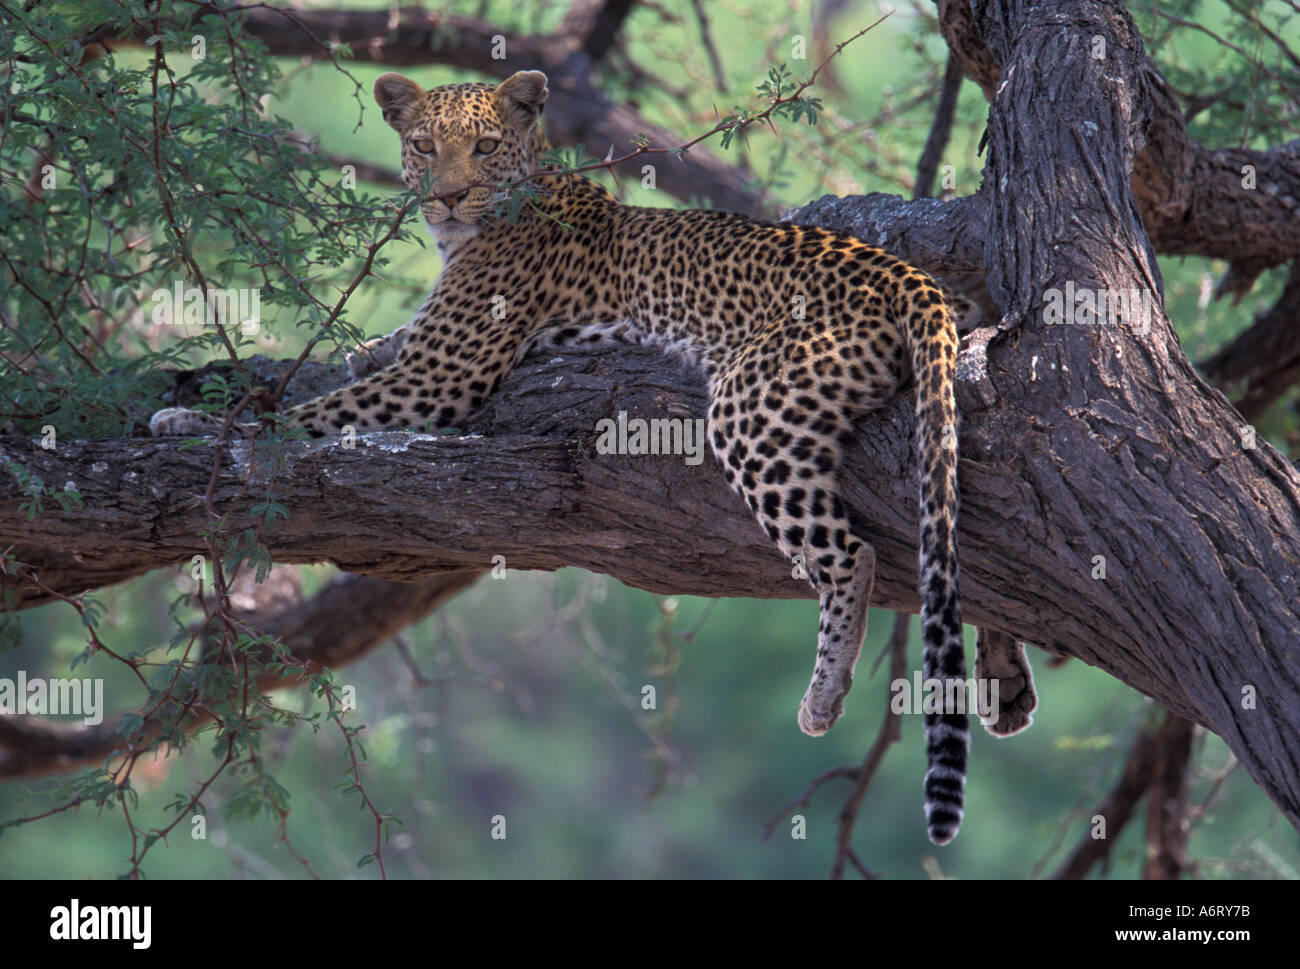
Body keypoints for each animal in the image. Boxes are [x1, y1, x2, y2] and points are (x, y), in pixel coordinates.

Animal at [151, 69, 1037, 844]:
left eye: (482, 147)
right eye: (425, 146)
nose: (446, 196)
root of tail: (906, 273)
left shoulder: (444, 374)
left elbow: (306, 415)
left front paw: (187, 421)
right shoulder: (428, 351)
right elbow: (368, 356)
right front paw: (343, 350)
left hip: (751, 408)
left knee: (851, 553)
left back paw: (823, 696)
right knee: (961, 547)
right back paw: (1006, 682)